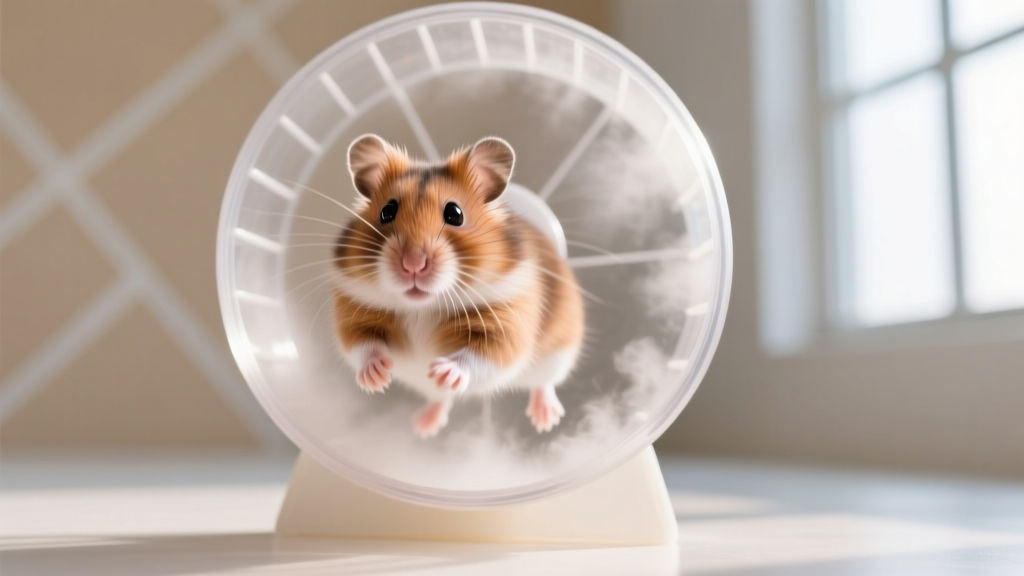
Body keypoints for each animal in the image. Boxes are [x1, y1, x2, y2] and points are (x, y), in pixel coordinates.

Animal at [330, 134, 584, 438]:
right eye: (386, 211)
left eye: (455, 213)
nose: (413, 264)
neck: (422, 307)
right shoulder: (354, 315)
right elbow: (363, 345)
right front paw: (377, 377)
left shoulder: (507, 325)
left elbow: (479, 356)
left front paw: (443, 372)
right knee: (441, 400)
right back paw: (424, 427)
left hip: (557, 354)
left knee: (543, 384)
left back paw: (546, 421)